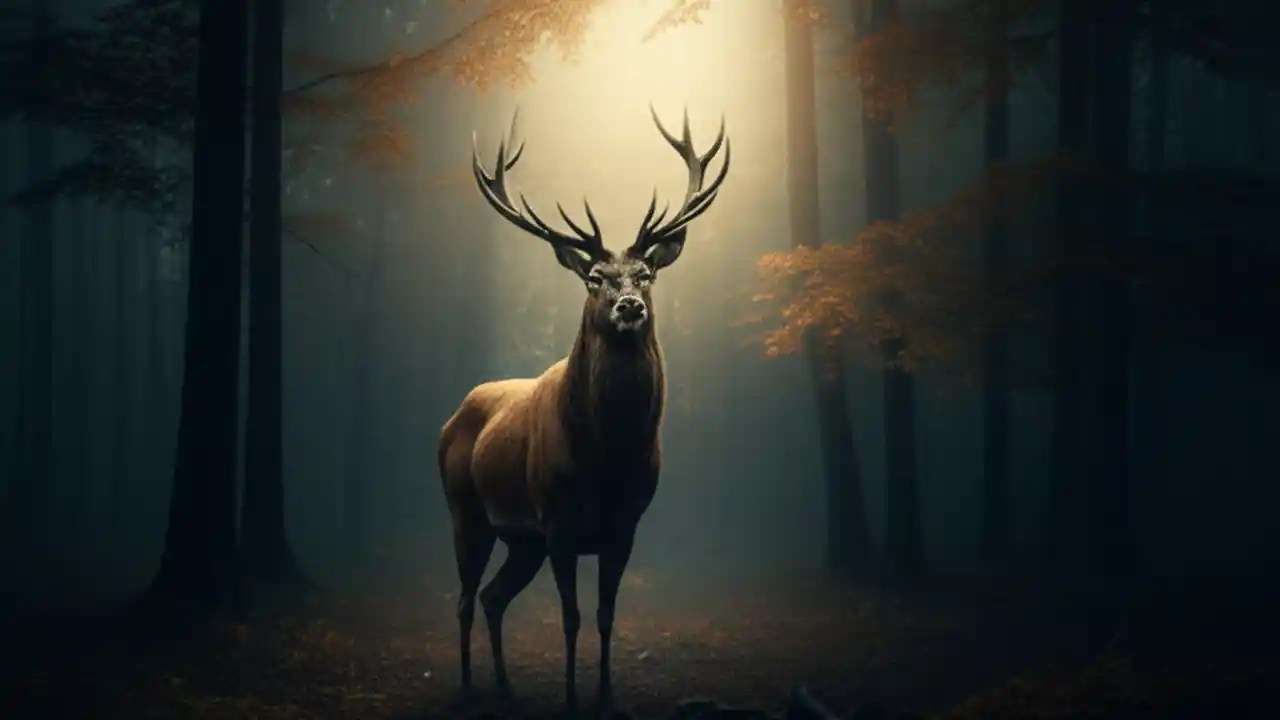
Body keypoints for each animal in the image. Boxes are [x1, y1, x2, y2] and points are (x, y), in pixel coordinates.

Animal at [438, 105, 730, 718]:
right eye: (595, 278)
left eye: (647, 273)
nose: (630, 306)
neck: (607, 457)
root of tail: (451, 419)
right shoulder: (558, 522)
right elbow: (570, 619)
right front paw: (572, 699)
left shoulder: (625, 524)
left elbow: (605, 616)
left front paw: (606, 697)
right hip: (465, 509)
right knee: (466, 598)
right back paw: (470, 686)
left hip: (519, 537)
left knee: (495, 597)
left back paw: (505, 686)